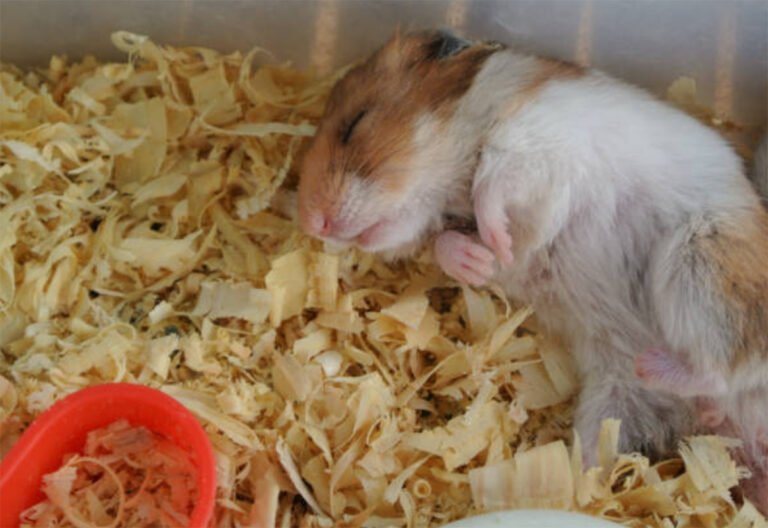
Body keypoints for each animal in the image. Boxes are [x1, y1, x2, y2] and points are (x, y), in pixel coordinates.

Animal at [297, 29, 768, 512]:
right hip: (620, 403)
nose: (311, 223)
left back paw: (658, 366)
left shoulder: (535, 138)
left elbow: (492, 182)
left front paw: (499, 241)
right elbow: (449, 241)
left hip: (702, 264)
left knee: (731, 364)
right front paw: (483, 261)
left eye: (354, 124)